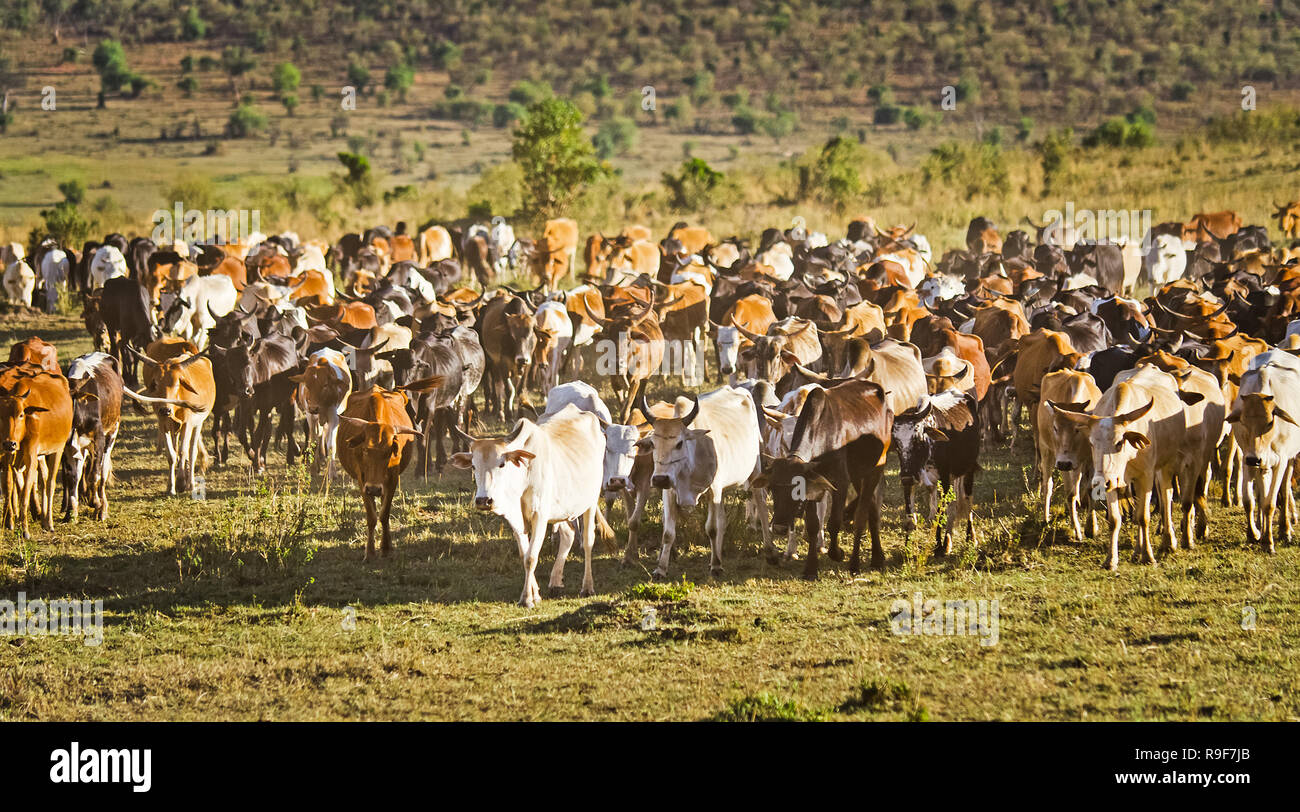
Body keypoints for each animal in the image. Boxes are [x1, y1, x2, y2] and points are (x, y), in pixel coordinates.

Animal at [61, 352, 123, 521]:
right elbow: (72, 477)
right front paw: (71, 512)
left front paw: (95, 502)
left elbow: (94, 475)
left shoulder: (98, 439)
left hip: (112, 432)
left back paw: (102, 509)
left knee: (102, 472)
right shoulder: (68, 447)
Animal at [336, 377, 445, 560]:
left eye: (389, 452)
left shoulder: (393, 478)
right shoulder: (362, 480)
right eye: (365, 450)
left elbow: (384, 513)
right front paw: (370, 551)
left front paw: (386, 548)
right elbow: (372, 516)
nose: (374, 488)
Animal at [452, 404, 606, 606]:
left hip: (591, 501)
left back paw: (587, 587)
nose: (483, 500)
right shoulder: (516, 520)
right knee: (568, 535)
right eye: (473, 466)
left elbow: (531, 557)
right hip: (561, 508)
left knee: (588, 541)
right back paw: (556, 582)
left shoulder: (539, 515)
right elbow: (524, 555)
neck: (521, 476)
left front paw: (526, 599)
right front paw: (535, 595)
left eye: (502, 464)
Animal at [636, 387, 770, 579]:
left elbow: (712, 529)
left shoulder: (713, 491)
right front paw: (661, 569)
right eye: (653, 443)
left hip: (755, 472)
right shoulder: (670, 493)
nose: (660, 479)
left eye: (679, 443)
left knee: (761, 505)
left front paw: (716, 567)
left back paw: (770, 550)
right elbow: (668, 533)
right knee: (723, 520)